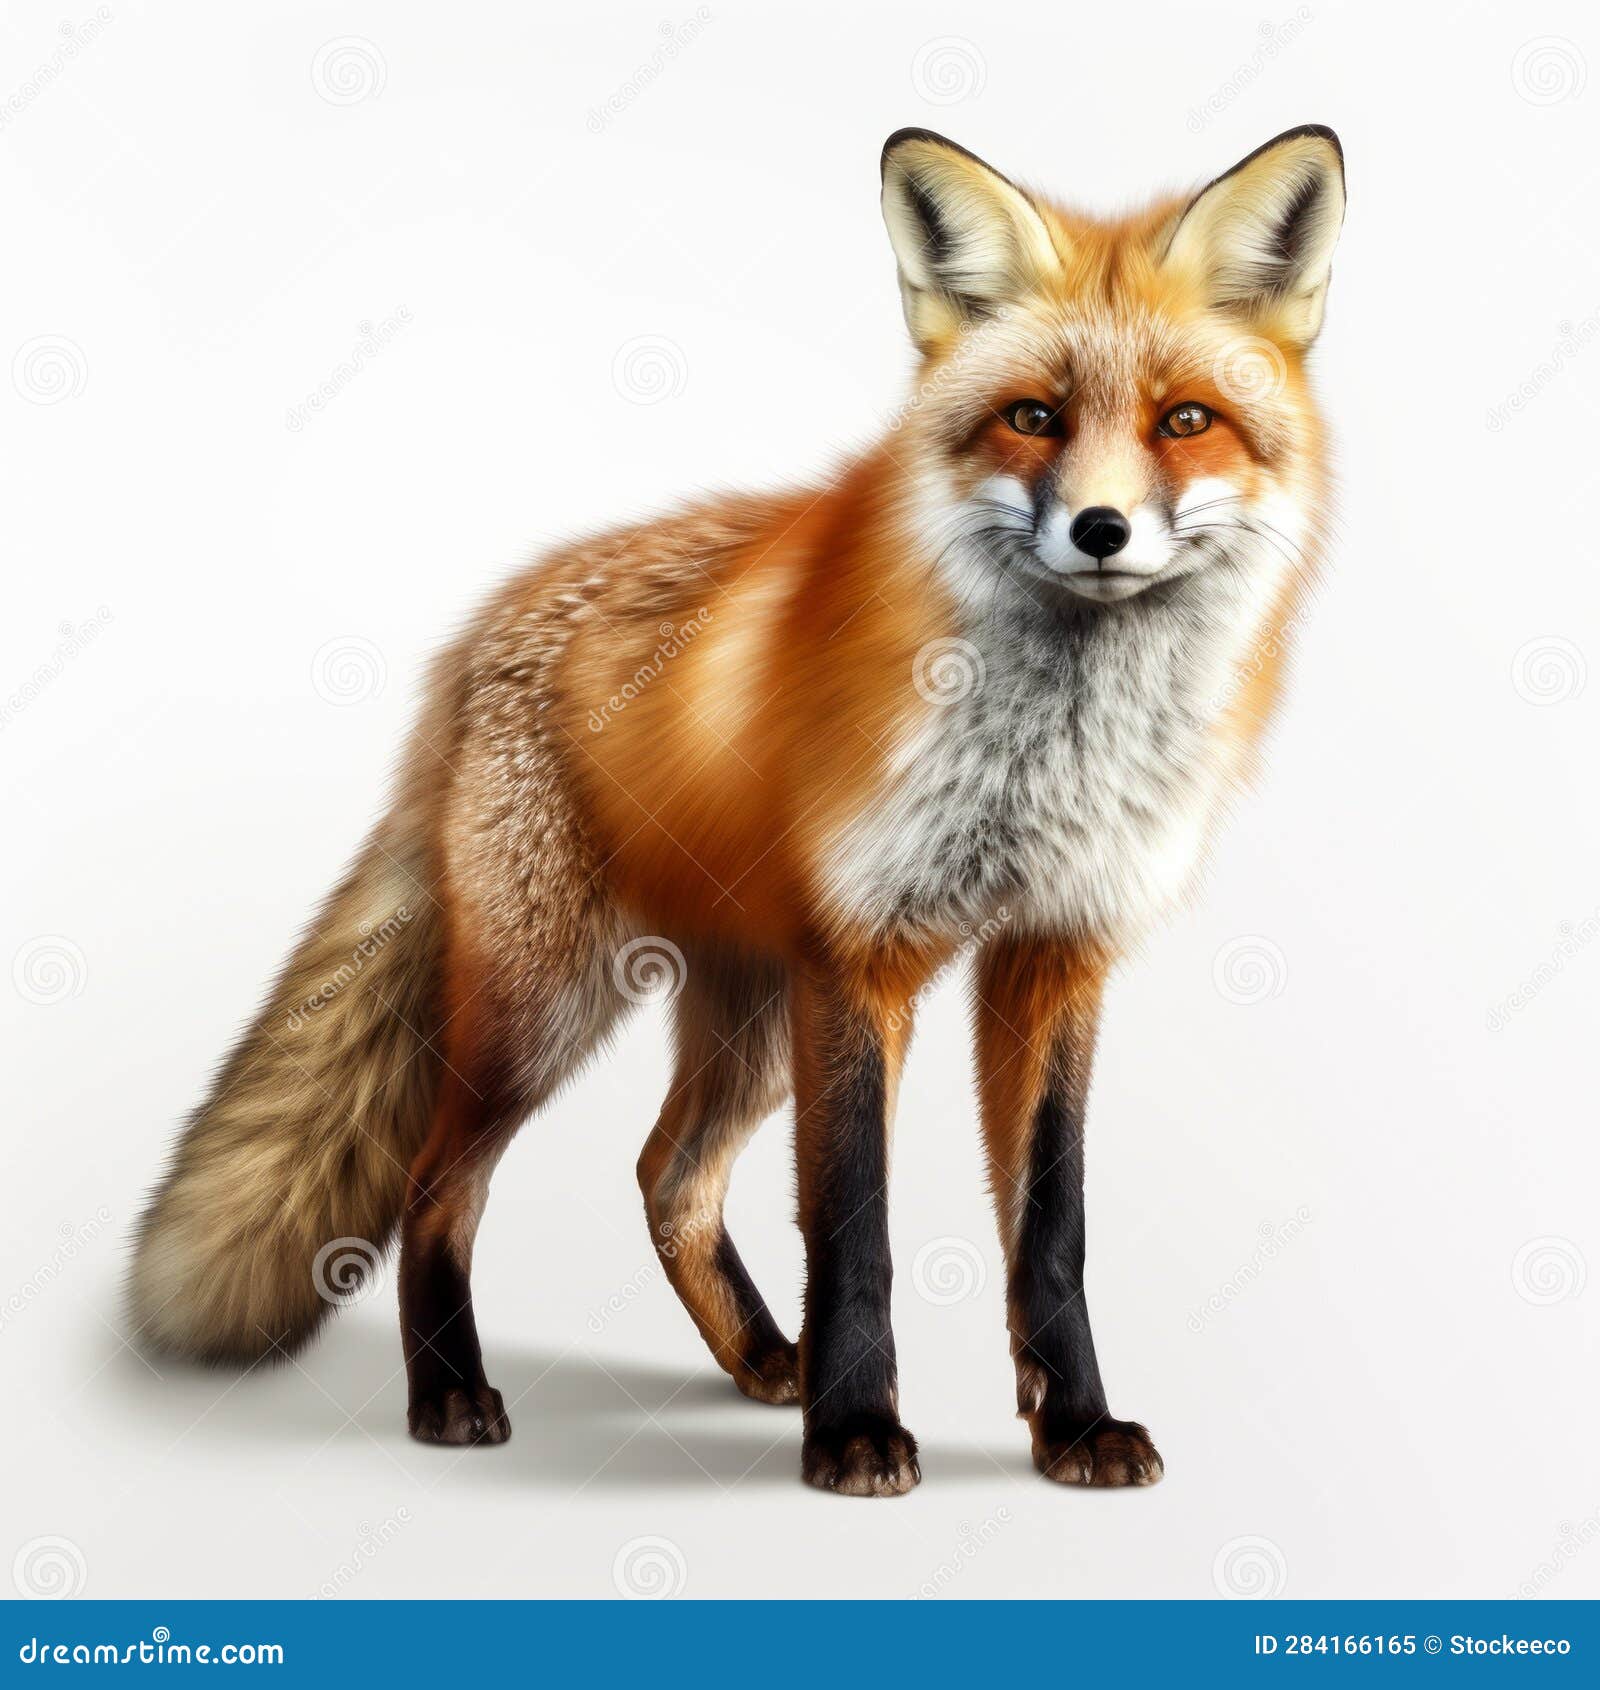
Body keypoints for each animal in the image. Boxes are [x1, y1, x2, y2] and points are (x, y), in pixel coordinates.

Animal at [130, 124, 1344, 1496]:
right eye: (1031, 417)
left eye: (1185, 422)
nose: (1099, 528)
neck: (1048, 753)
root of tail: (480, 633)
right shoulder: (861, 959)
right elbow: (856, 1227)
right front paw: (855, 1427)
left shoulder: (1054, 951)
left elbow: (1052, 1232)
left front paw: (1073, 1425)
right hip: (549, 1005)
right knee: (438, 1187)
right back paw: (449, 1391)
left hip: (752, 1017)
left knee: (667, 1174)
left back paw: (768, 1355)